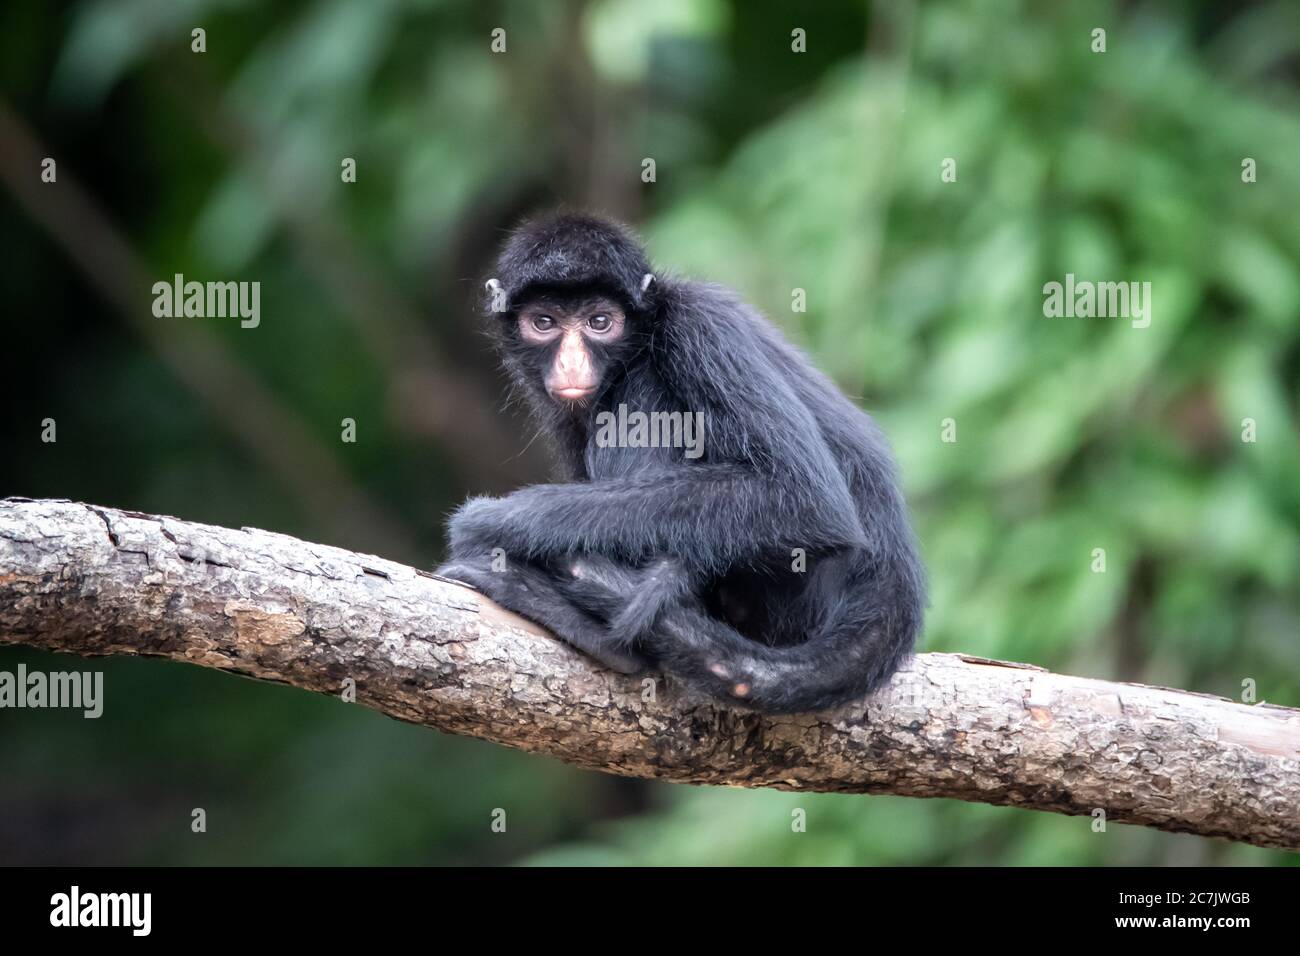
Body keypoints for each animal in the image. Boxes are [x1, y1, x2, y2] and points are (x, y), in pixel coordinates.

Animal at [436, 211, 925, 713]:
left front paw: (494, 523)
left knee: (640, 388)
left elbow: (809, 502)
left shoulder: (702, 323)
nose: (571, 363)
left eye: (599, 322)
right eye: (544, 322)